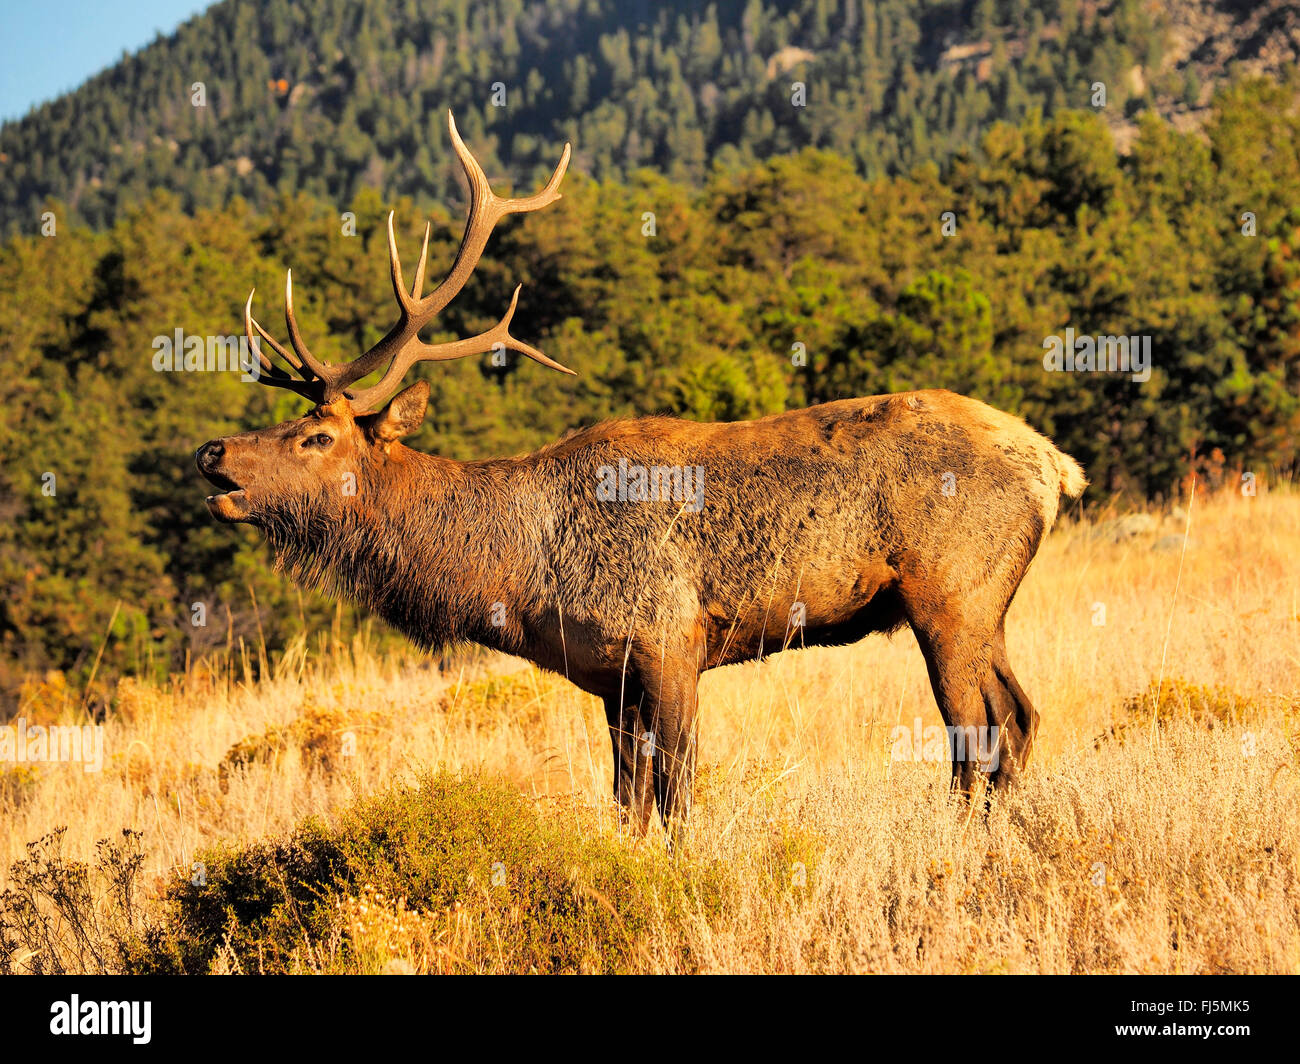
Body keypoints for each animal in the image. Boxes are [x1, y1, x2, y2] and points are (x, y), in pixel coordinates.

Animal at [197, 112, 1087, 836]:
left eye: (316, 436)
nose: (212, 453)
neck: (519, 573)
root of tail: (1055, 465)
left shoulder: (669, 642)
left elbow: (680, 800)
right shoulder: (611, 679)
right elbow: (628, 809)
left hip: (950, 595)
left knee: (977, 733)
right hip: (986, 605)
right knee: (1022, 717)